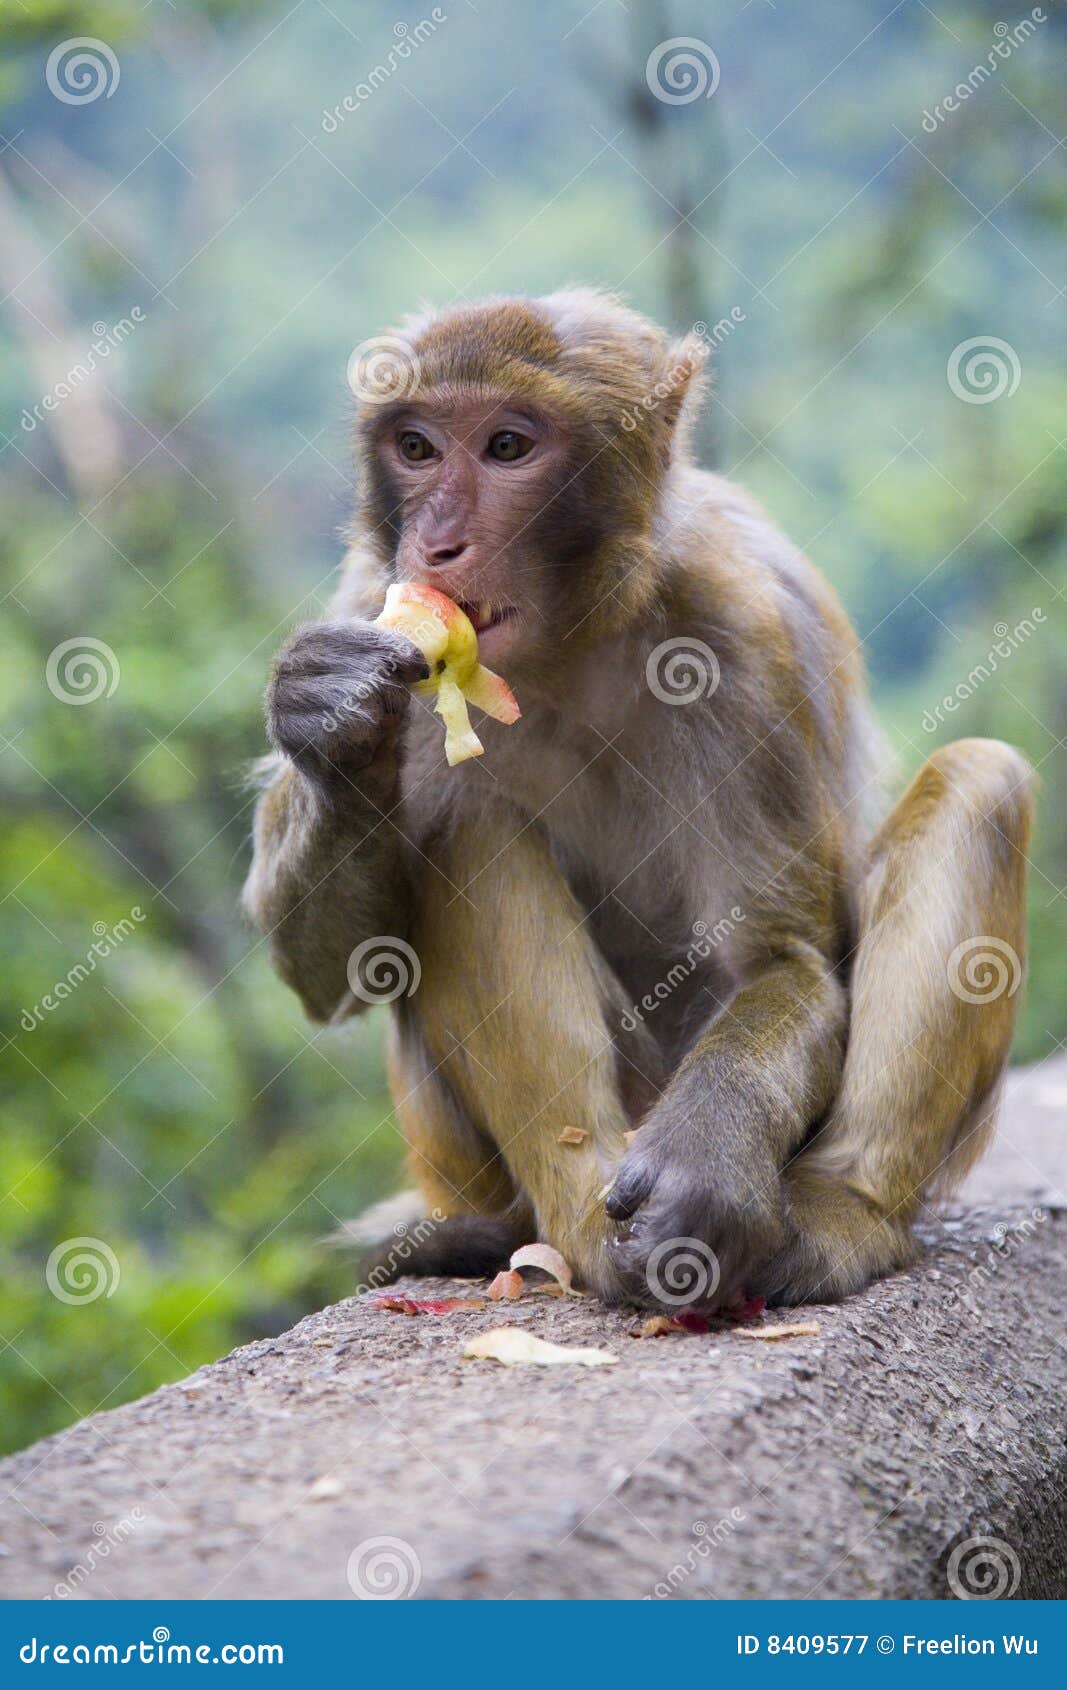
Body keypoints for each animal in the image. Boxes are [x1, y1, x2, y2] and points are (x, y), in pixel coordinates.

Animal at [243, 288, 1032, 1312]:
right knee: (462, 827)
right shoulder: (368, 597)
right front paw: (328, 721)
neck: (566, 646)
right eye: (415, 447)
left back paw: (839, 1213)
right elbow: (330, 977)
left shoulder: (739, 636)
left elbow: (775, 961)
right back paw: (554, 1230)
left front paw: (707, 1160)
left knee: (983, 781)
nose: (437, 543)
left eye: (506, 446)